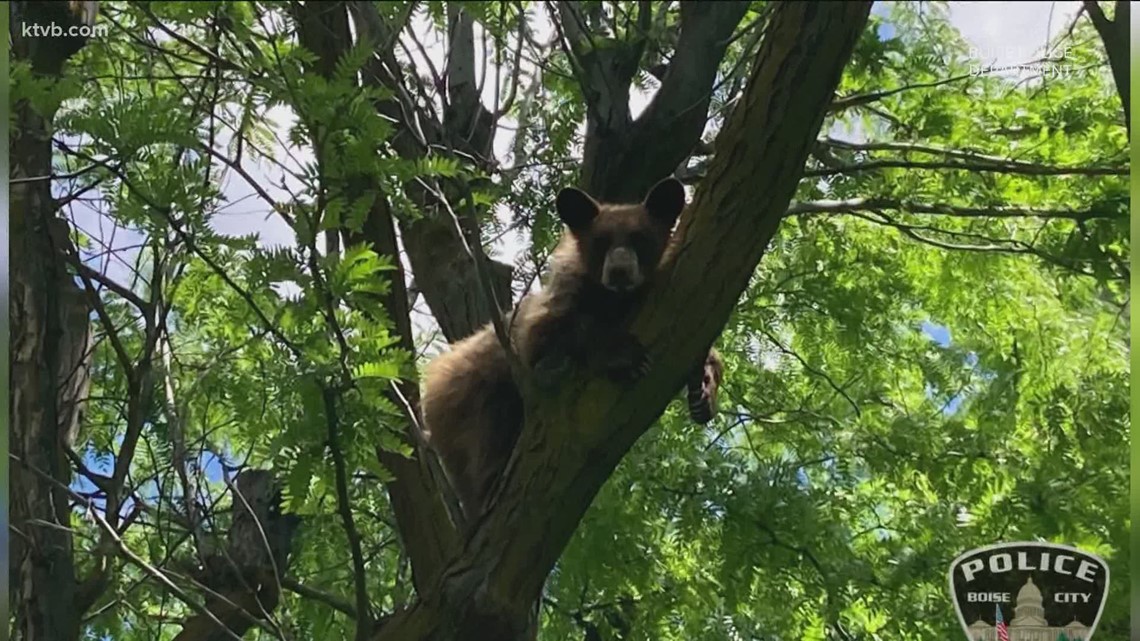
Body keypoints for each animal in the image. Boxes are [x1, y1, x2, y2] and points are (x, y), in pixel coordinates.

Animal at [420, 177, 718, 521]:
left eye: (640, 239)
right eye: (601, 241)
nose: (619, 271)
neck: (614, 300)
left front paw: (703, 387)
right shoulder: (551, 308)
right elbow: (551, 334)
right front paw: (621, 354)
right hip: (466, 403)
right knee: (490, 426)